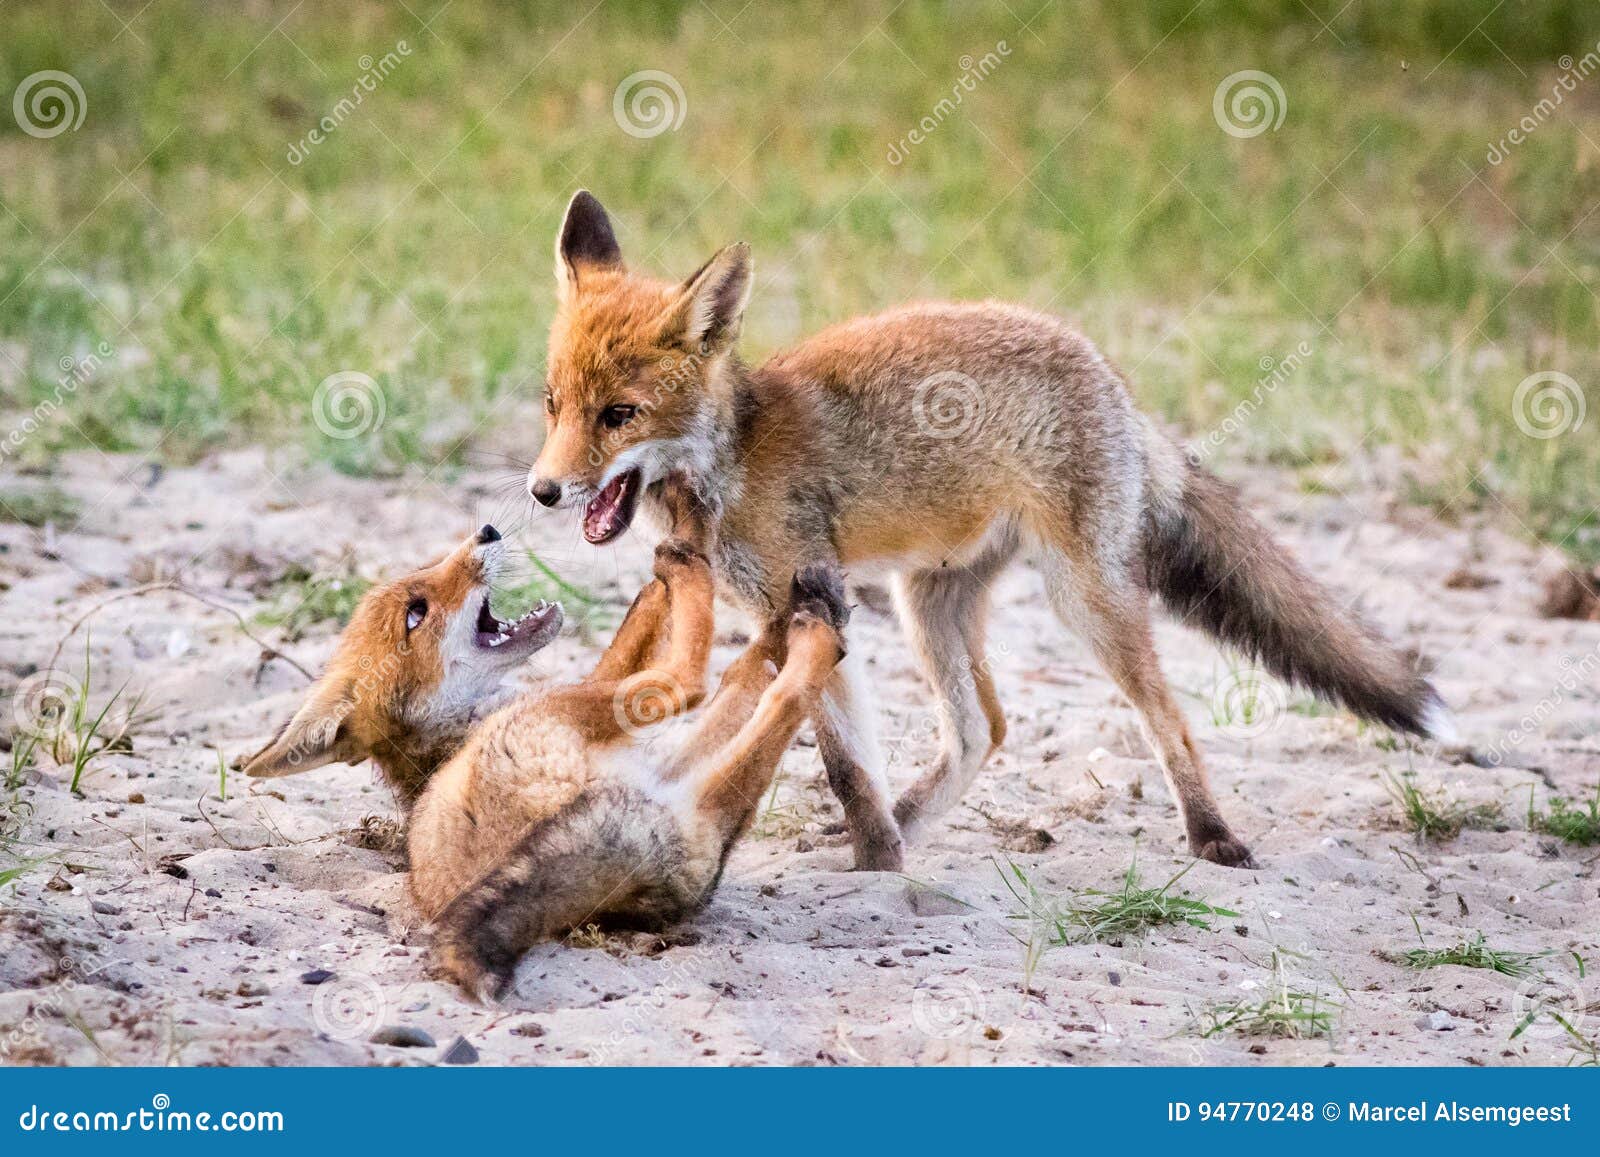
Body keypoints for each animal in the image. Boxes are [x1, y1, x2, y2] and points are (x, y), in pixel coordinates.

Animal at [242, 483, 855, 999]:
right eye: (416, 613)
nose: (486, 532)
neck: (450, 740)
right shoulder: (610, 707)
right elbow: (690, 670)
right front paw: (678, 554)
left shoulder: (663, 760)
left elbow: (731, 668)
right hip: (603, 732)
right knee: (720, 684)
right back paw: (798, 626)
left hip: (692, 803)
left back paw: (804, 617)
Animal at [526, 189, 1457, 873]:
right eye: (554, 403)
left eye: (620, 414)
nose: (542, 490)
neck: (735, 457)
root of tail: (1109, 374)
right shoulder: (786, 610)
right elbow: (848, 759)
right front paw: (880, 852)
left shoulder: (805, 598)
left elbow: (841, 764)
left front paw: (879, 864)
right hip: (927, 602)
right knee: (985, 729)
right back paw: (913, 821)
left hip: (1085, 600)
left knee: (1167, 716)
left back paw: (1212, 836)